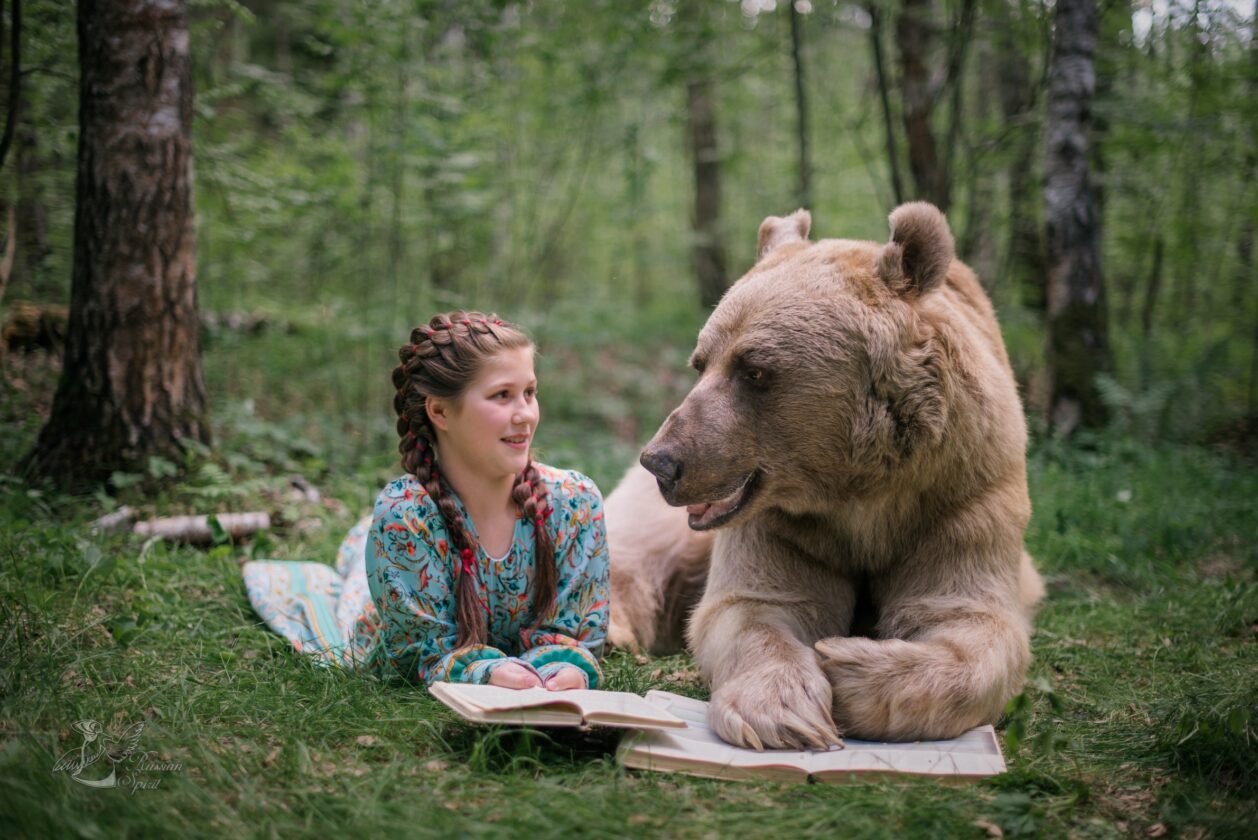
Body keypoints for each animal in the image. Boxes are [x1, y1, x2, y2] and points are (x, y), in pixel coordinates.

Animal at [606, 202, 1044, 750]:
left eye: (753, 370)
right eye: (701, 362)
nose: (663, 460)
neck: (855, 486)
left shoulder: (959, 494)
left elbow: (964, 615)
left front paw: (847, 665)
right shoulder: (784, 522)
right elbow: (756, 603)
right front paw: (782, 709)